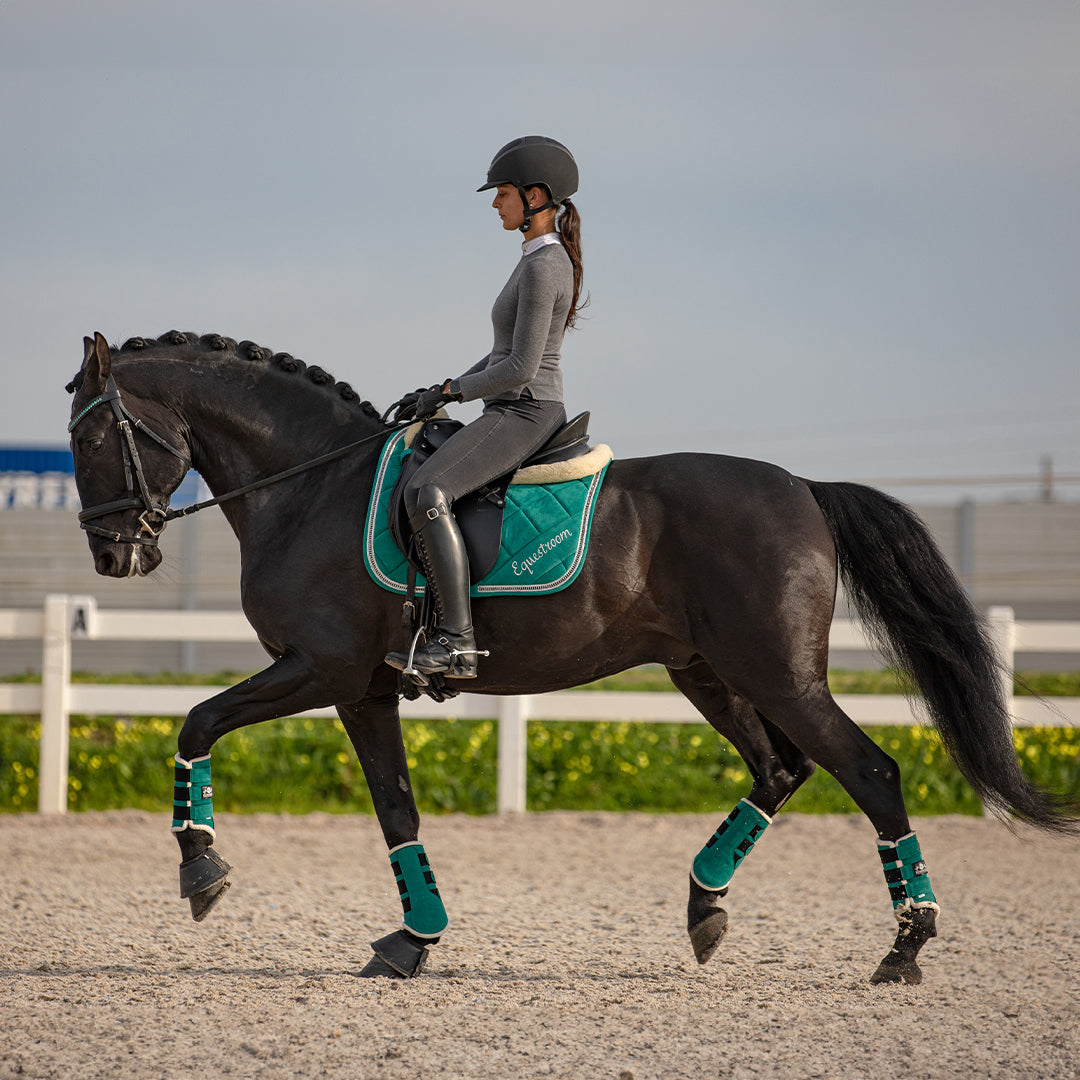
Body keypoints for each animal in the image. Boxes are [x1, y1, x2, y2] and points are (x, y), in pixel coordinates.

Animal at [66, 330, 1078, 983]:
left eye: (88, 434)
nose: (113, 555)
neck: (312, 485)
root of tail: (801, 486)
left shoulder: (322, 670)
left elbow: (196, 720)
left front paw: (201, 873)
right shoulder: (365, 692)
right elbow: (396, 810)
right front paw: (413, 940)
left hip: (777, 674)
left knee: (867, 771)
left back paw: (905, 947)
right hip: (707, 672)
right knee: (781, 769)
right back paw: (705, 908)